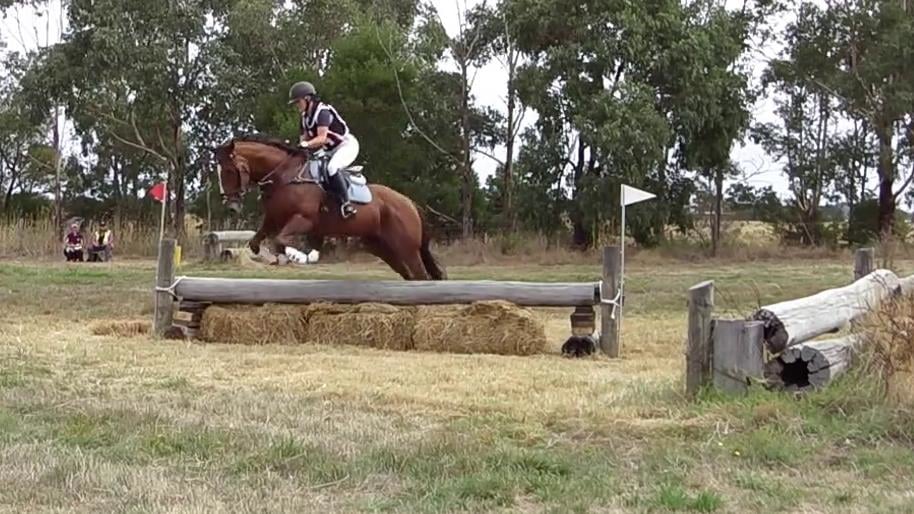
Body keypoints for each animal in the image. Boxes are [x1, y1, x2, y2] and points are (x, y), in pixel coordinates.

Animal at [213, 134, 446, 280]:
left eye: (230, 172)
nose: (231, 207)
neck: (284, 176)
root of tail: (410, 203)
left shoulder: (304, 220)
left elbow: (281, 240)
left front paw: (301, 257)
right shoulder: (272, 220)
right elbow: (256, 243)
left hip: (407, 247)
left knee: (420, 275)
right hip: (382, 247)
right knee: (409, 276)